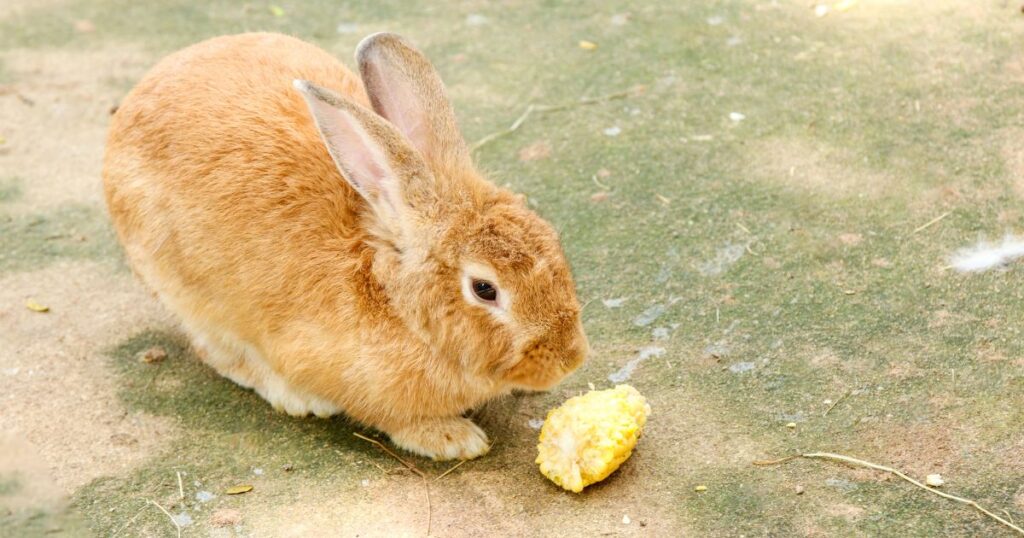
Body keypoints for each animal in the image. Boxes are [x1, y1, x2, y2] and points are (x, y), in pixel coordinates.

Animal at [102, 32, 588, 460]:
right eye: (484, 289)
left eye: (551, 237)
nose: (570, 358)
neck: (395, 302)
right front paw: (453, 439)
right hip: (184, 293)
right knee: (217, 351)